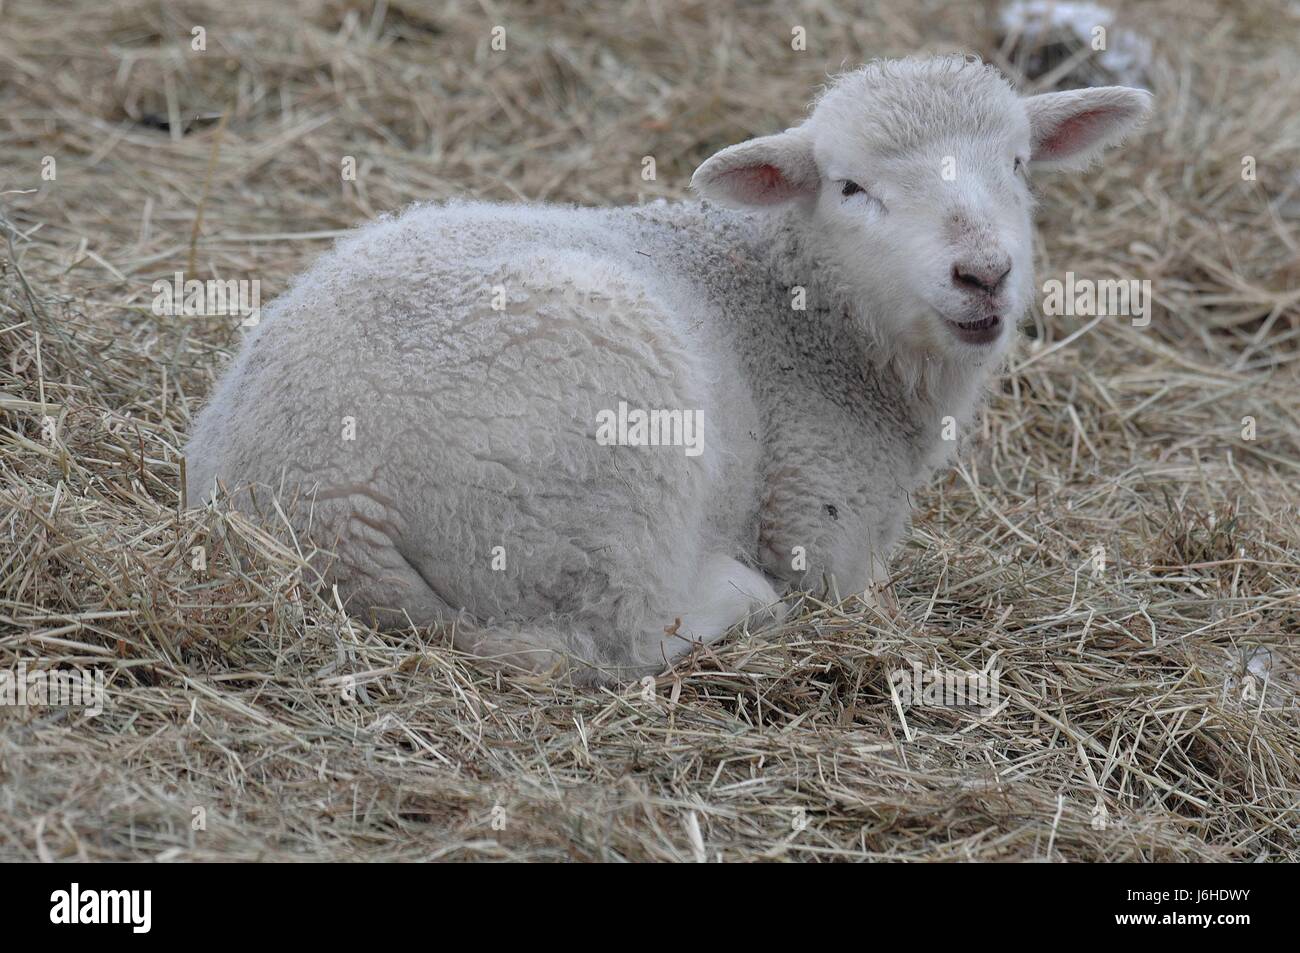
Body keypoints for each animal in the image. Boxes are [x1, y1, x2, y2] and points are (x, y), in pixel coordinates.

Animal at [184, 55, 1152, 684]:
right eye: (850, 187)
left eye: (1019, 163)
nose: (983, 272)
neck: (808, 310)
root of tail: (321, 505)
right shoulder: (821, 514)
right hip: (602, 469)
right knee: (615, 639)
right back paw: (730, 597)